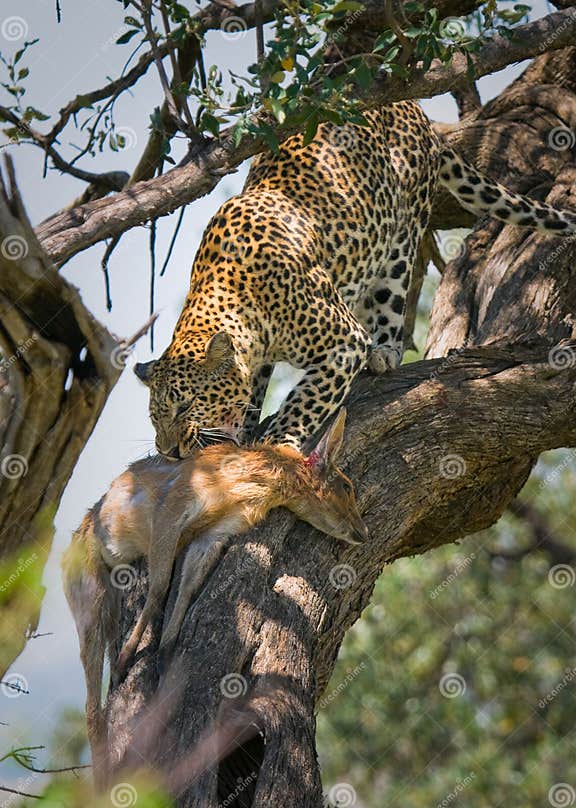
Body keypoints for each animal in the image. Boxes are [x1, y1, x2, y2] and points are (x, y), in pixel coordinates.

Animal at [135, 101, 576, 456]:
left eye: (185, 405)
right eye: (155, 416)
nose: (169, 452)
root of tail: (412, 106)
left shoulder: (343, 344)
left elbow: (305, 400)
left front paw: (278, 441)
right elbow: (253, 391)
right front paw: (244, 427)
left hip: (402, 234)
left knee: (392, 292)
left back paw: (385, 351)